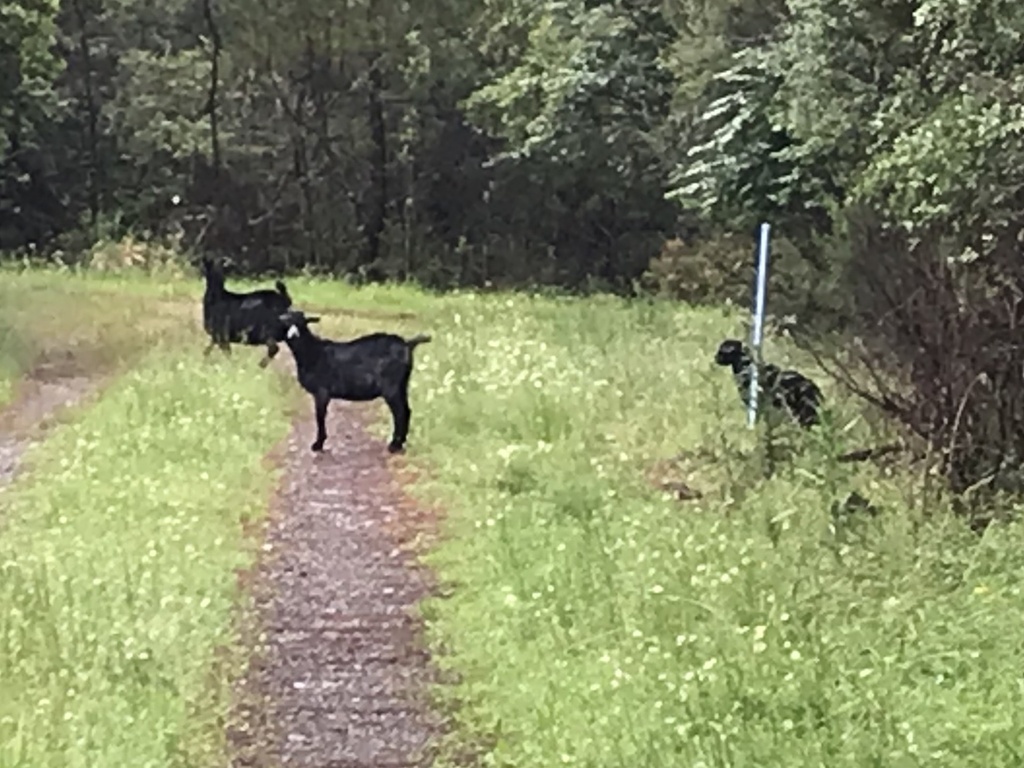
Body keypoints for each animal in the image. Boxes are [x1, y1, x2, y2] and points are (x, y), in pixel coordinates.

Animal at [274, 309, 432, 453]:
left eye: (289, 319)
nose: (279, 318)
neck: (311, 352)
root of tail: (408, 344)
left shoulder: (322, 391)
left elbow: (320, 417)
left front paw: (318, 445)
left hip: (391, 386)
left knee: (400, 412)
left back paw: (394, 446)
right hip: (402, 384)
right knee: (407, 410)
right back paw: (400, 443)